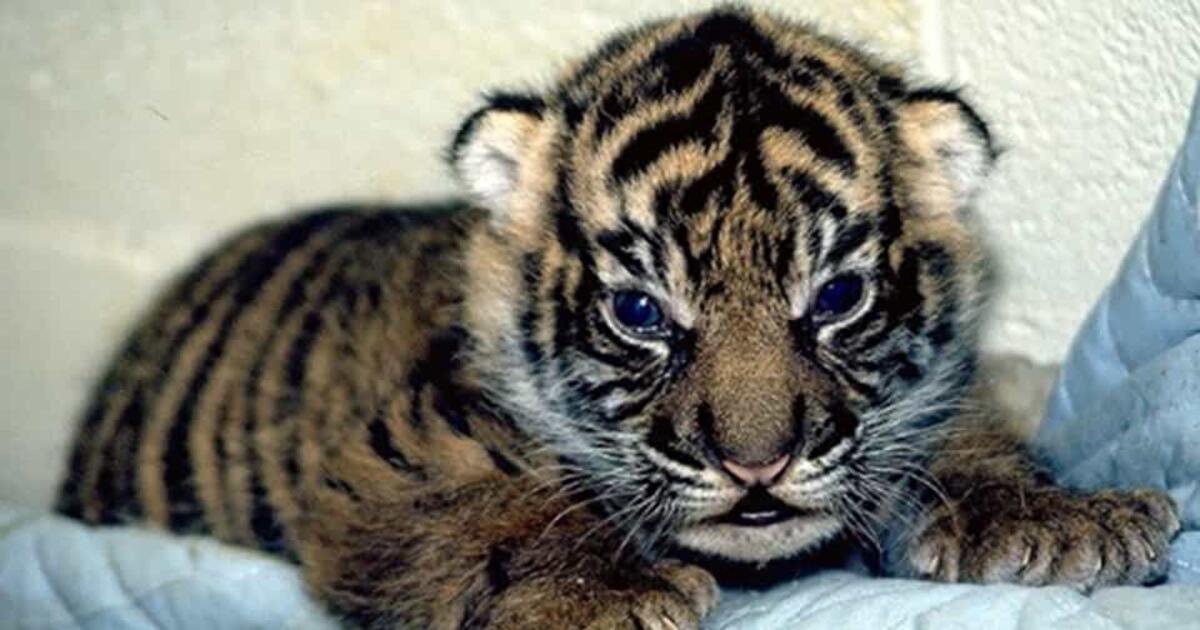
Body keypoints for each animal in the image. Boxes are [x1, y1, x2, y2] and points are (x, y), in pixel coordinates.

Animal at [57, 6, 1180, 629]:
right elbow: (504, 506)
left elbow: (955, 431)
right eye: (641, 312)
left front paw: (1055, 523)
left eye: (836, 299)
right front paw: (605, 591)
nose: (756, 466)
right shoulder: (384, 462)